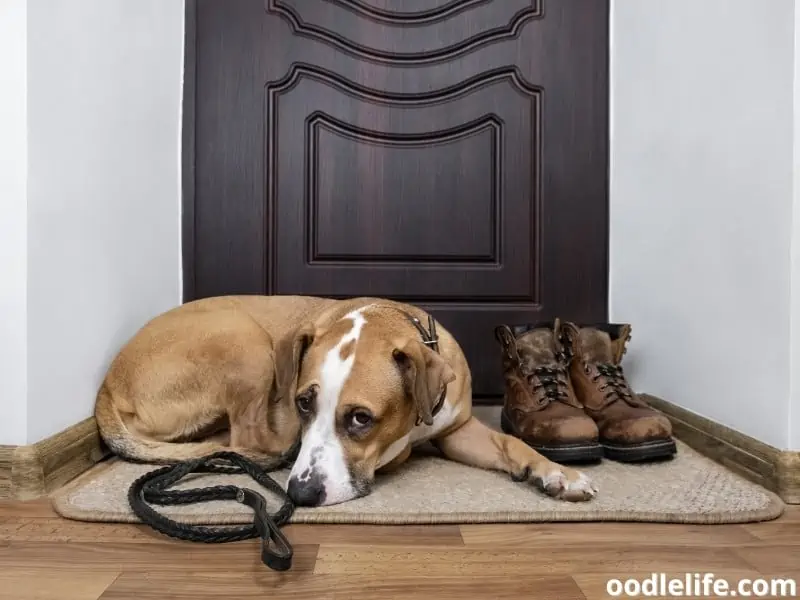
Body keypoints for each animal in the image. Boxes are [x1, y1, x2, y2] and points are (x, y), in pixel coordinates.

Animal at [94, 296, 596, 506]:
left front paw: (556, 473)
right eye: (302, 404)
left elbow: (513, 445)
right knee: (248, 439)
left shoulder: (457, 430)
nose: (300, 495)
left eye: (359, 418)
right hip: (244, 340)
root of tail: (107, 387)